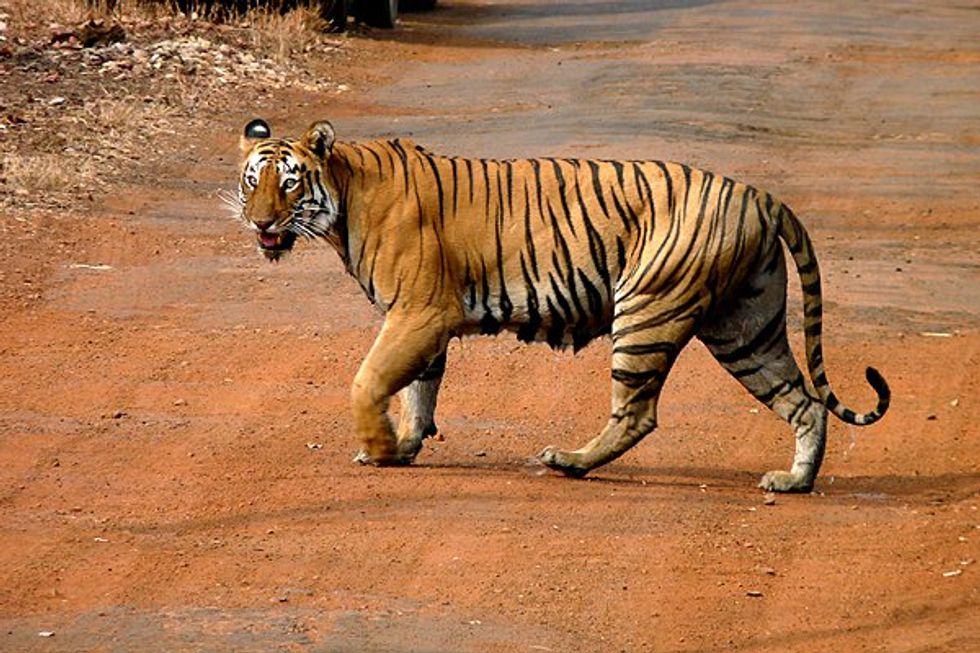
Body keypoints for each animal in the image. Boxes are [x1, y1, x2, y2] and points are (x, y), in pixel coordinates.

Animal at [231, 117, 890, 492]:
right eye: (251, 181)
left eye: (289, 182)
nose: (259, 222)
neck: (344, 192)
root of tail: (758, 193)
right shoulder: (423, 322)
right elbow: (420, 390)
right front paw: (405, 446)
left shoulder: (418, 313)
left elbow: (368, 381)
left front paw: (378, 446)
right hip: (746, 326)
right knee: (804, 401)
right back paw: (794, 481)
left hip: (647, 311)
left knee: (638, 412)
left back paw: (570, 462)